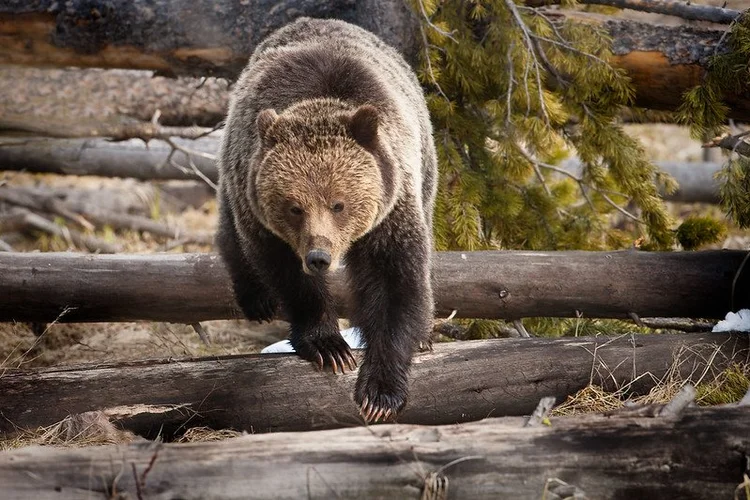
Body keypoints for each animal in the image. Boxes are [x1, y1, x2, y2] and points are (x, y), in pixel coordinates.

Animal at [216, 17, 437, 423]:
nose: (319, 257)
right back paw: (257, 299)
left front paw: (380, 392)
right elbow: (288, 276)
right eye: (294, 207)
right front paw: (330, 347)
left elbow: (396, 279)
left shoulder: (392, 207)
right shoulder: (263, 217)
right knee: (231, 232)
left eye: (339, 204)